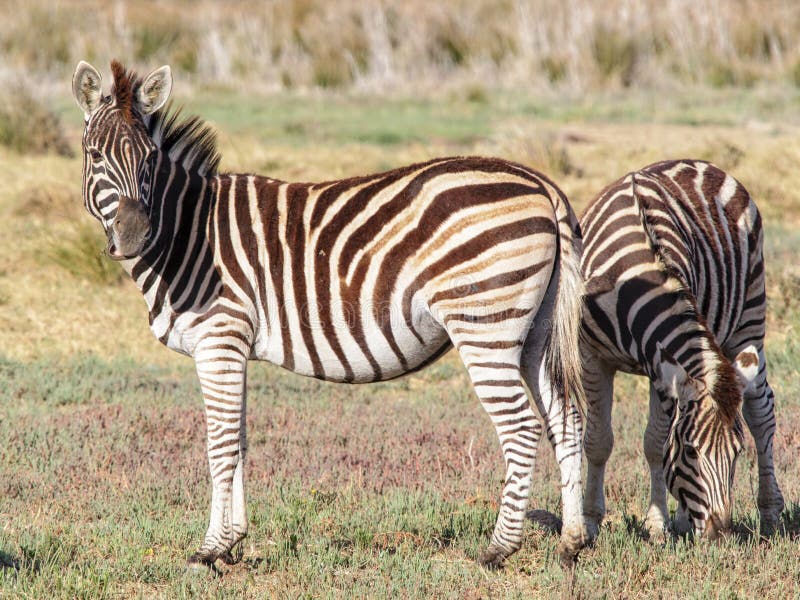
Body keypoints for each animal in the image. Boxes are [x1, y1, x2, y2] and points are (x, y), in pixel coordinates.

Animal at [71, 60, 588, 569]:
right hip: (534, 332)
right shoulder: (233, 346)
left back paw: (500, 548)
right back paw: (573, 541)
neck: (189, 234)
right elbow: (238, 441)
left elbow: (219, 444)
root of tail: (539, 182)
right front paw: (233, 540)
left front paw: (209, 549)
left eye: (148, 159)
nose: (134, 236)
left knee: (521, 428)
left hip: (485, 325)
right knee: (566, 420)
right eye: (94, 155)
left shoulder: (218, 339)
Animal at [577, 159, 784, 543]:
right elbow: (598, 440)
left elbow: (655, 442)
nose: (719, 534)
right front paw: (590, 521)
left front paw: (656, 524)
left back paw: (769, 513)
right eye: (690, 450)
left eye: (737, 452)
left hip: (750, 316)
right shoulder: (592, 356)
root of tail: (702, 164)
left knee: (761, 411)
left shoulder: (661, 369)